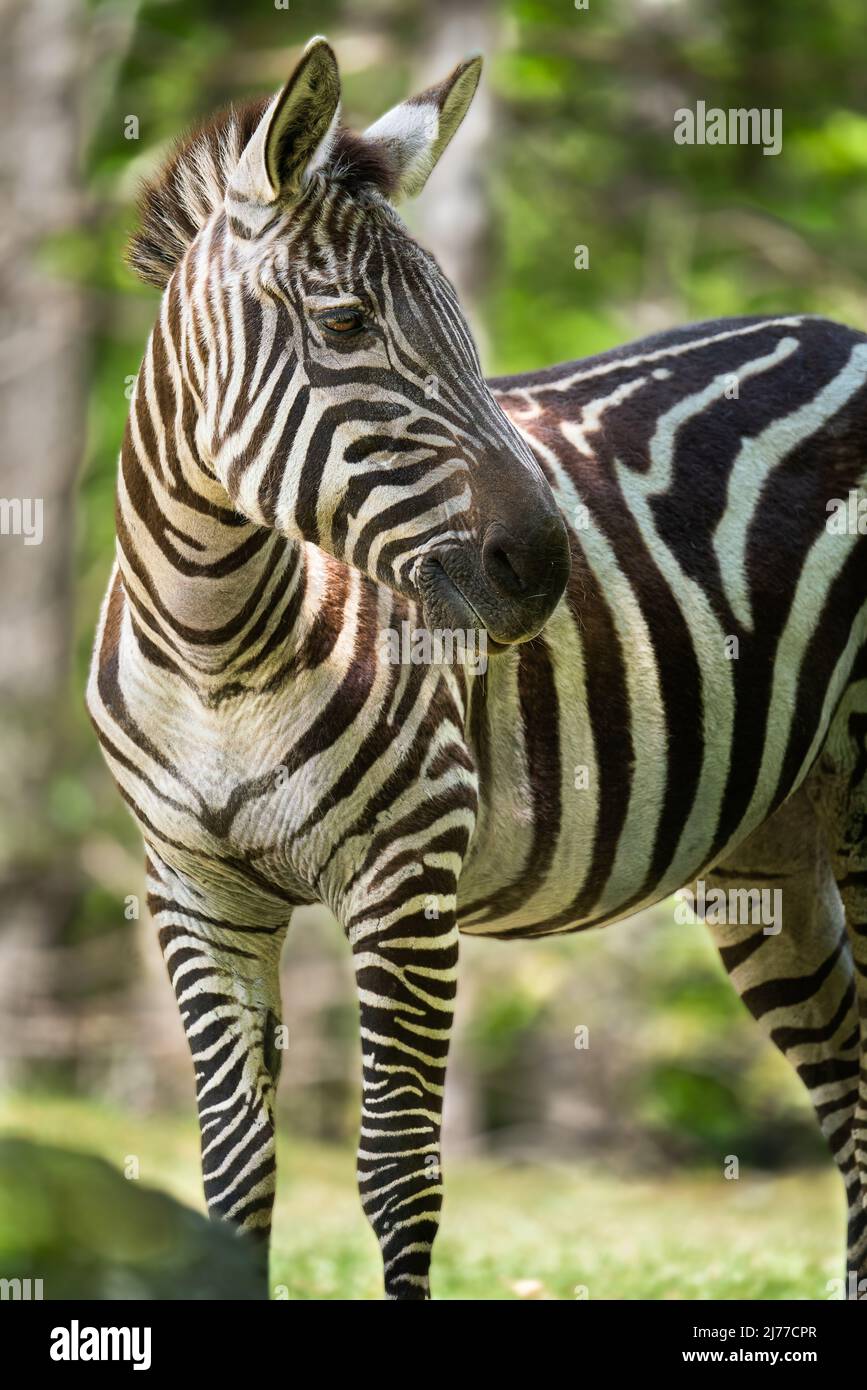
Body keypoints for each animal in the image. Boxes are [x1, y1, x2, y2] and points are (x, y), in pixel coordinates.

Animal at [87, 33, 867, 1300]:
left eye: (462, 331)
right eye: (346, 324)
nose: (543, 570)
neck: (217, 648)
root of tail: (846, 330)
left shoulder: (408, 871)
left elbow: (399, 1174)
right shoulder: (196, 889)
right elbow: (236, 1174)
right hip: (773, 839)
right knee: (853, 1088)